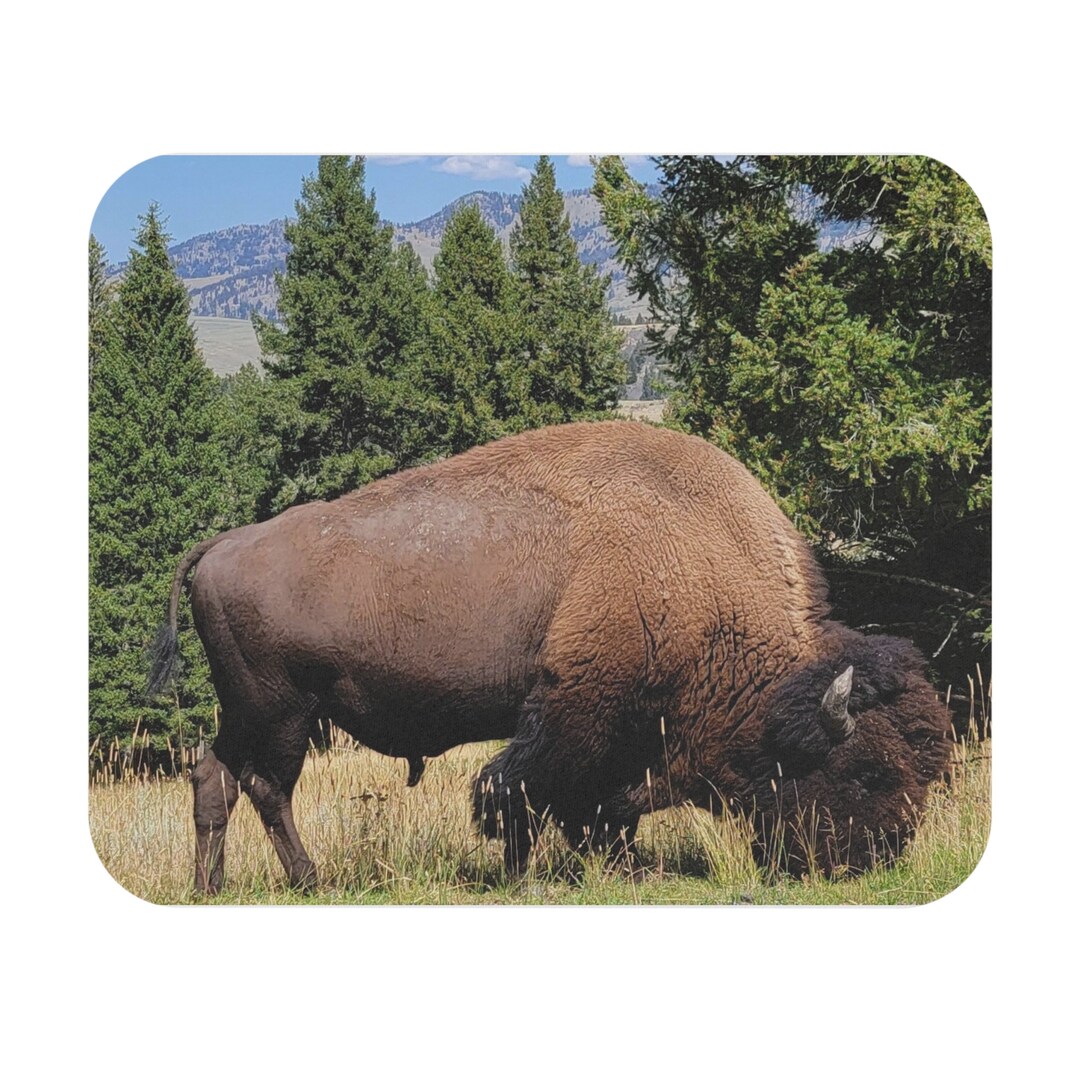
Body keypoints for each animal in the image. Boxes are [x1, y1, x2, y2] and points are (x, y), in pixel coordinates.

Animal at [148, 421, 952, 892]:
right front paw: (529, 875)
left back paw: (211, 886)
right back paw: (313, 880)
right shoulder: (578, 708)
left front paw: (619, 867)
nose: (881, 855)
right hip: (282, 711)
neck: (698, 560)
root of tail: (221, 544)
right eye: (870, 770)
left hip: (246, 711)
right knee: (267, 788)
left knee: (214, 775)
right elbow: (529, 793)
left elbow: (597, 805)